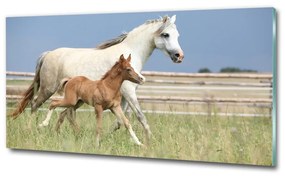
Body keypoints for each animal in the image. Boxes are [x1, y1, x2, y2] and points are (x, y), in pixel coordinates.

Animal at [10, 14, 184, 140]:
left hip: (73, 98)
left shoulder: (123, 96)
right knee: (35, 105)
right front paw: (150, 140)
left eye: (177, 35)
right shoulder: (129, 92)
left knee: (66, 113)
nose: (179, 56)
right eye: (166, 34)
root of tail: (47, 54)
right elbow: (140, 117)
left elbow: (122, 120)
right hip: (48, 89)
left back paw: (71, 134)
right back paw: (33, 129)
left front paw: (111, 136)